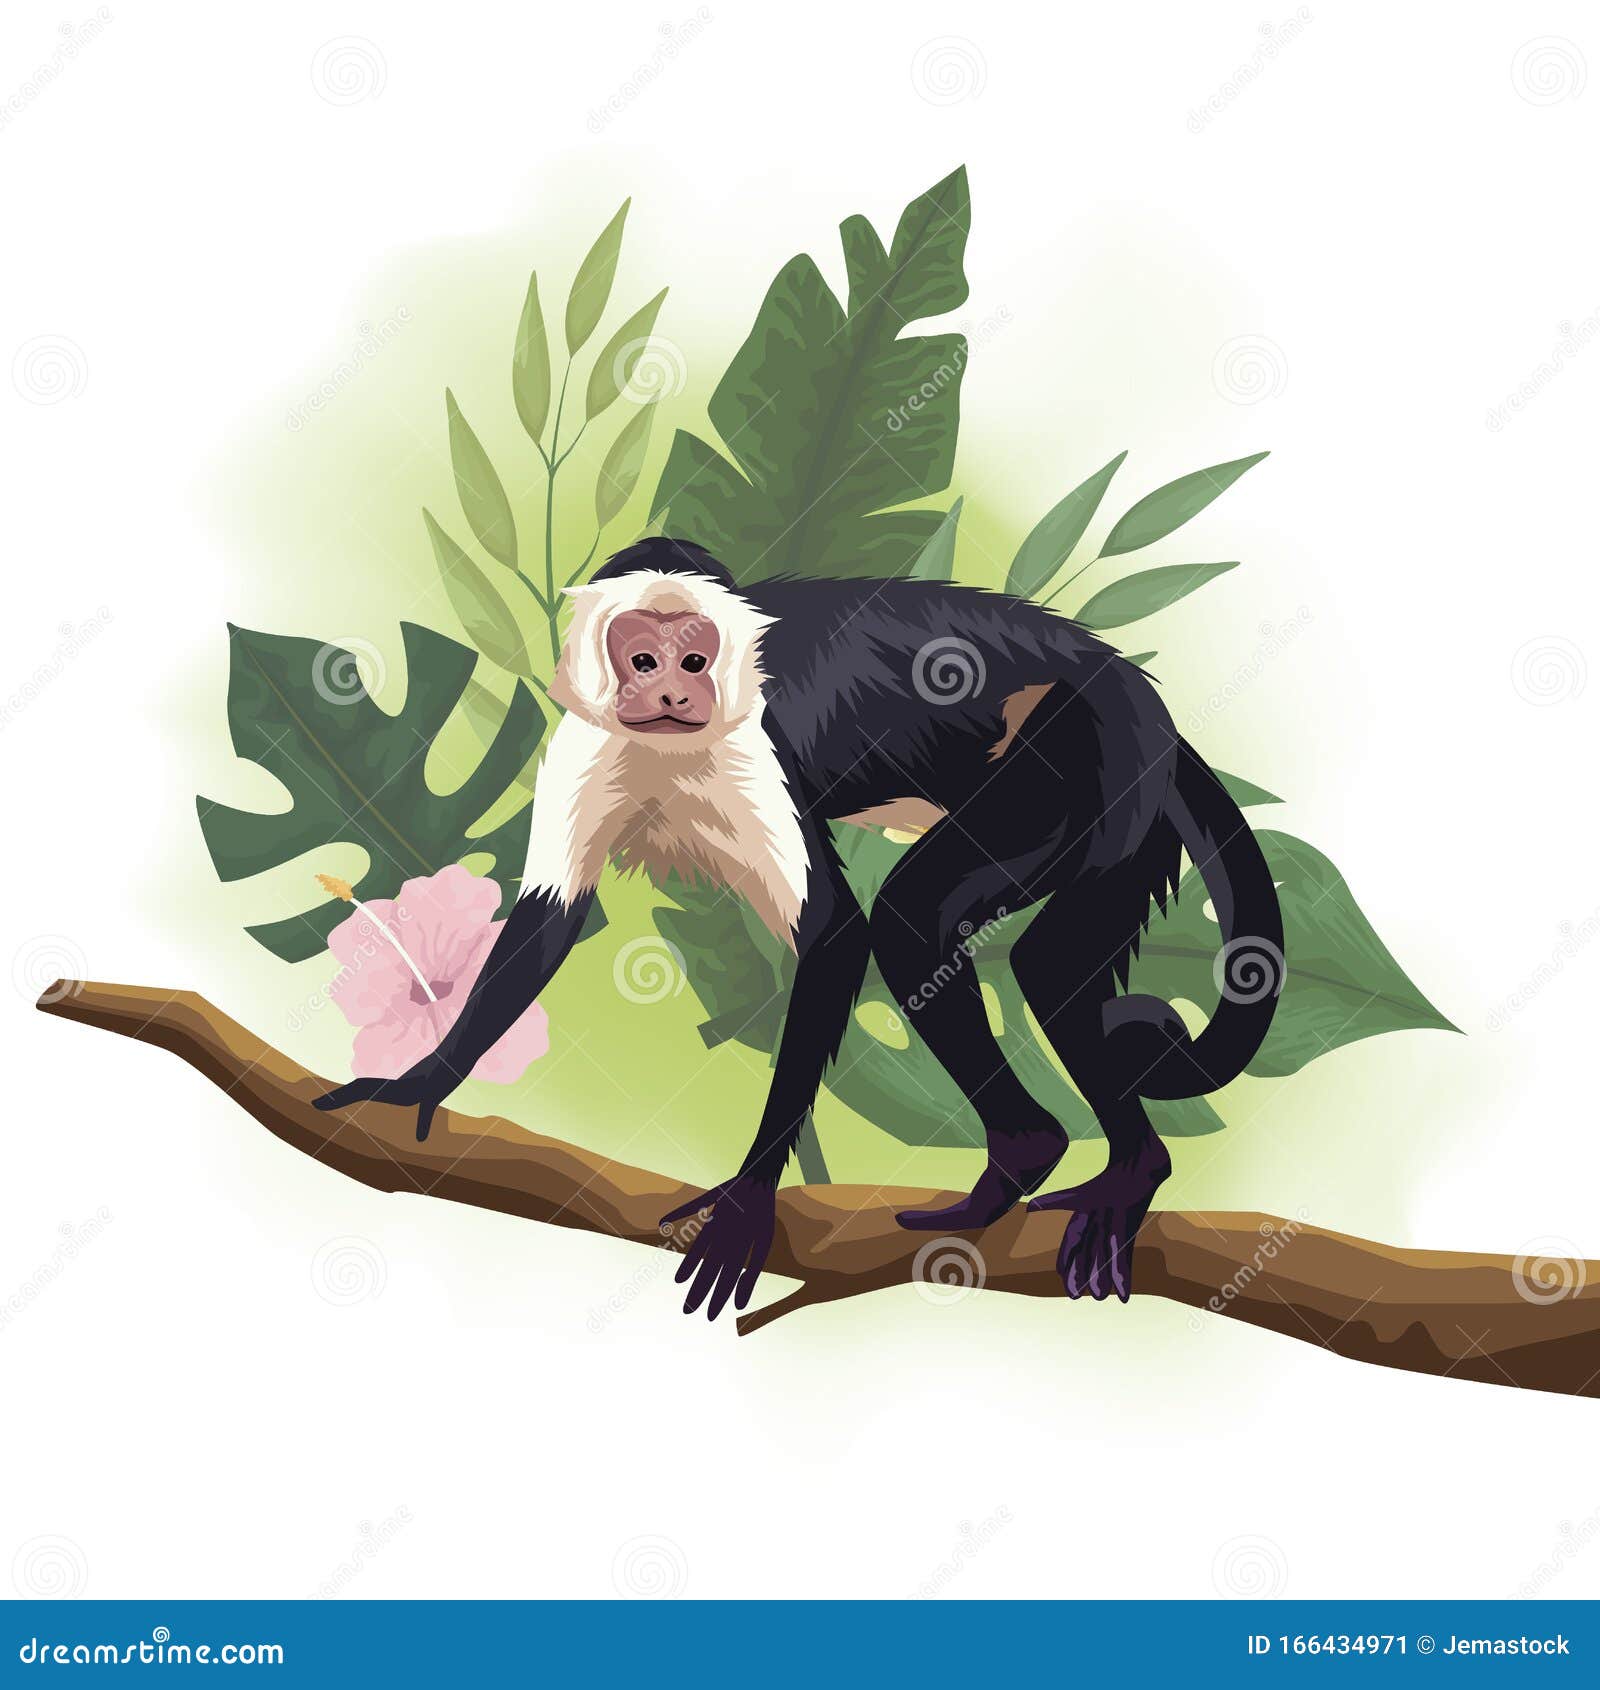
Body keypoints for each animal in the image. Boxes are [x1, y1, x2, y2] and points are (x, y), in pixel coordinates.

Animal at [315, 537, 1284, 1320]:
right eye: (639, 651)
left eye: (695, 653)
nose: (669, 683)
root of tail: (1124, 678)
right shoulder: (587, 743)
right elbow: (547, 922)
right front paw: (419, 1081)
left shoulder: (761, 741)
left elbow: (837, 935)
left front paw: (750, 1196)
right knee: (1028, 952)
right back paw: (1022, 1167)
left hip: (1092, 753)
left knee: (961, 934)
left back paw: (1112, 1167)